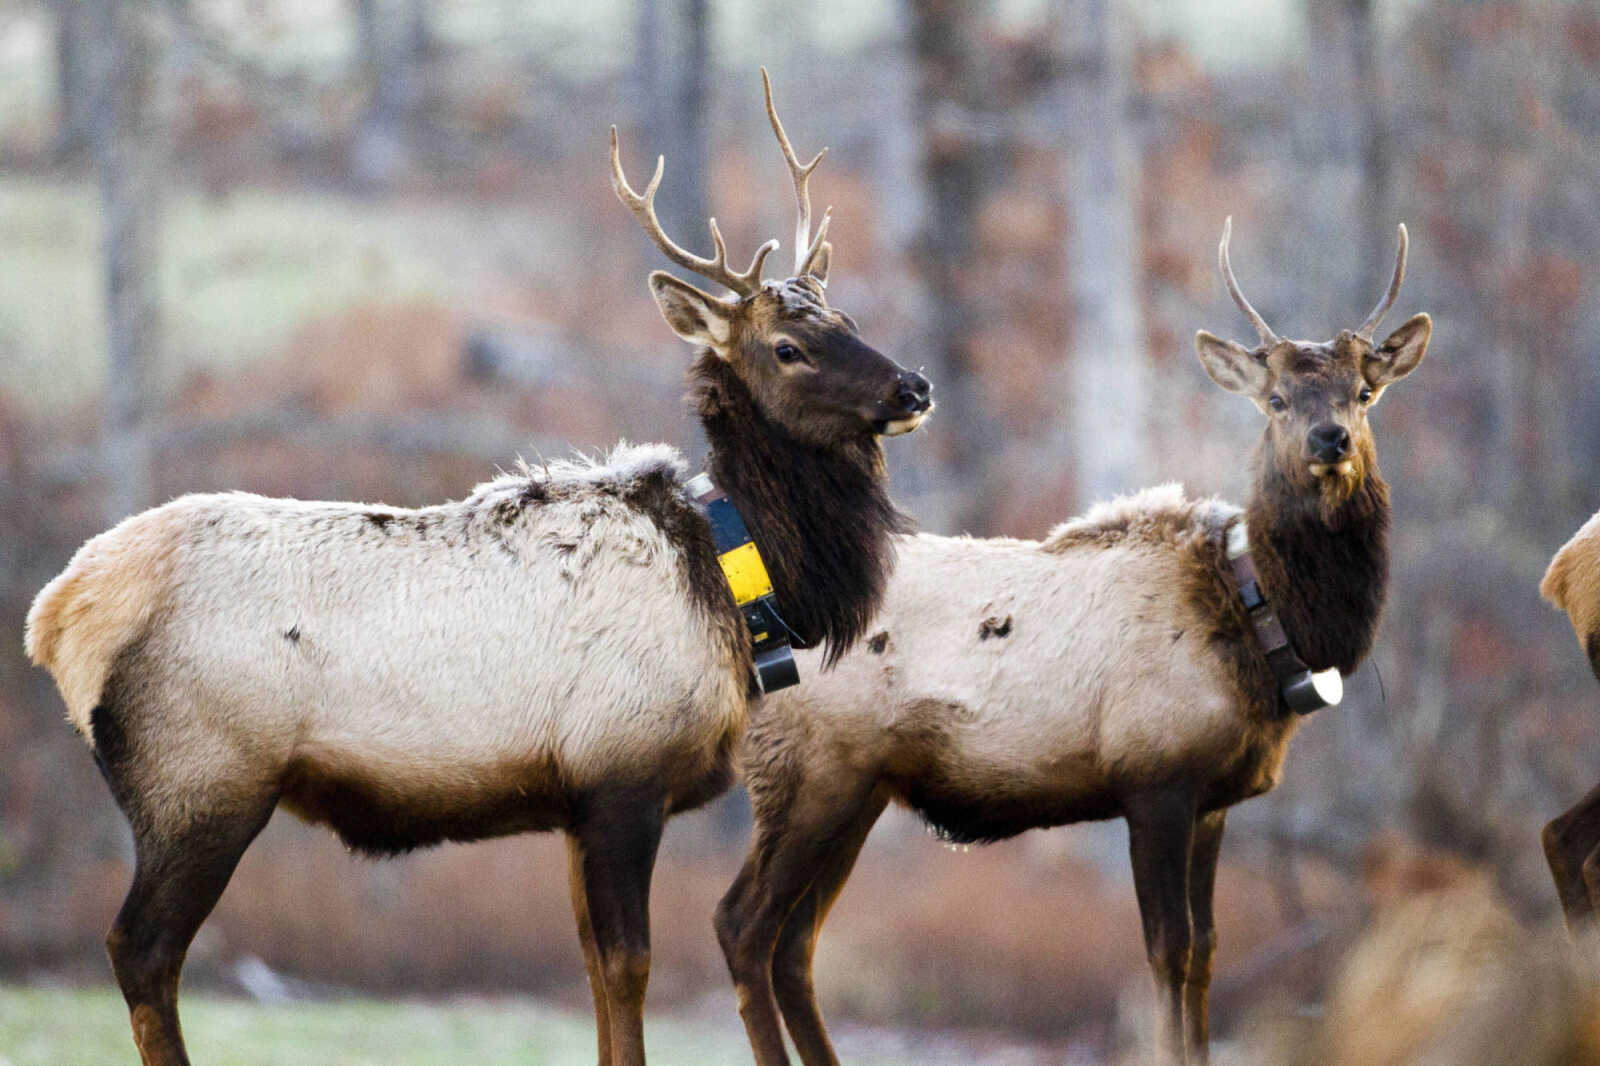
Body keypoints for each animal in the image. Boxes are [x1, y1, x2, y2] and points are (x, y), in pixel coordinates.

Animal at [23, 72, 930, 1066]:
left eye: (849, 319)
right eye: (788, 348)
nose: (913, 387)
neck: (735, 589)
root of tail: (56, 613)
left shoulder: (573, 801)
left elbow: (593, 971)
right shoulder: (621, 770)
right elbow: (629, 967)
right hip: (201, 781)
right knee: (141, 949)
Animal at [713, 220, 1430, 1066]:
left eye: (1365, 391)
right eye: (1277, 399)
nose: (1330, 440)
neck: (1263, 625)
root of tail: (754, 628)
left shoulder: (1214, 798)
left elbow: (1207, 953)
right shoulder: (1154, 778)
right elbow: (1168, 951)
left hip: (856, 792)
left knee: (795, 943)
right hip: (807, 776)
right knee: (743, 926)